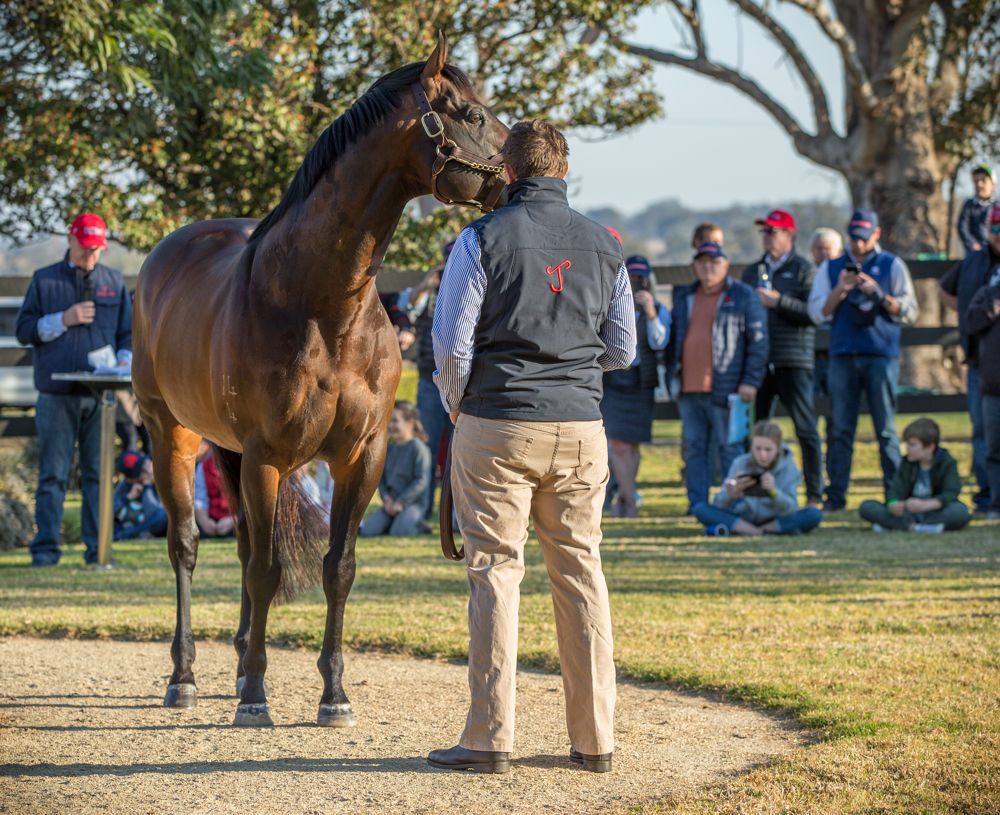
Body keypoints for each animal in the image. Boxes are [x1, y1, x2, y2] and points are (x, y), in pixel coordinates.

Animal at [131, 33, 508, 728]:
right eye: (472, 114)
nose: (526, 172)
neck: (323, 307)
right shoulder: (268, 457)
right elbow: (268, 571)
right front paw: (255, 698)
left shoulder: (361, 456)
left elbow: (337, 568)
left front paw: (333, 693)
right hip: (173, 435)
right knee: (188, 545)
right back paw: (186, 675)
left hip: (227, 451)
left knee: (243, 544)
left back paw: (238, 662)